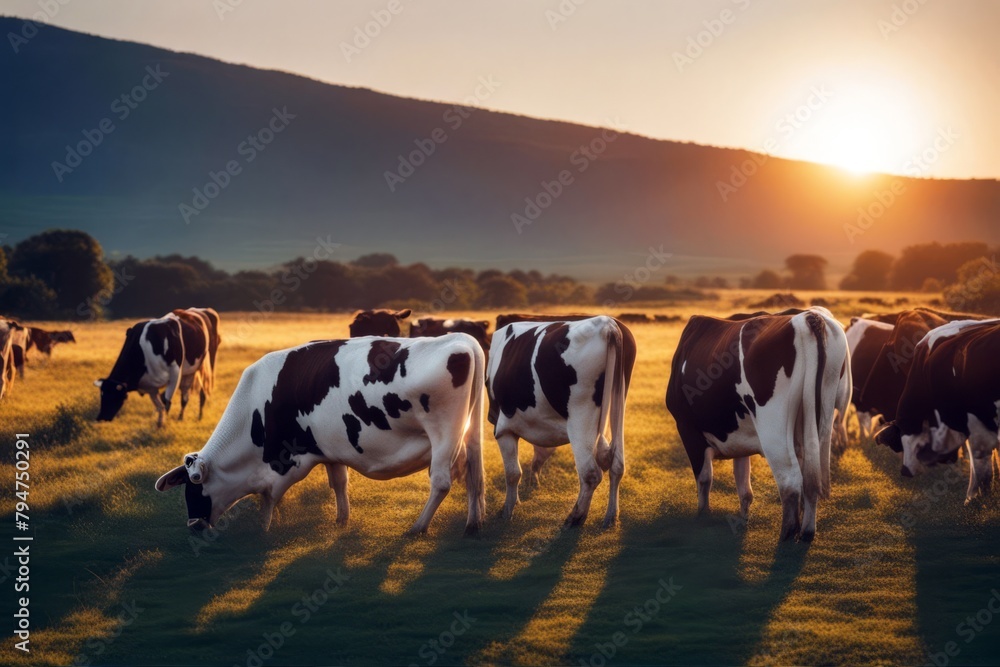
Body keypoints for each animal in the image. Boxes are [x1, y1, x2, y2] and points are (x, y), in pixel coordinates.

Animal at [155, 334, 486, 536]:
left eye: (195, 485)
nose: (194, 525)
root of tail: (460, 340)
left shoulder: (286, 460)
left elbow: (269, 497)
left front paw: (263, 529)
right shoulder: (329, 449)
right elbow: (339, 482)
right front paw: (341, 520)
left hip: (443, 433)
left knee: (441, 482)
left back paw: (418, 527)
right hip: (471, 433)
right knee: (475, 475)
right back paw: (473, 524)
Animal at [487, 316, 631, 528]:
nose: (490, 416)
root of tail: (607, 324)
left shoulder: (503, 428)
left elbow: (512, 472)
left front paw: (507, 510)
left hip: (580, 418)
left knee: (590, 473)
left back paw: (575, 517)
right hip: (617, 407)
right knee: (617, 465)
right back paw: (611, 517)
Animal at [665, 307, 850, 542]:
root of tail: (807, 316)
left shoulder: (687, 429)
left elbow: (704, 478)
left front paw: (703, 516)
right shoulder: (740, 440)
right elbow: (743, 485)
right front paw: (743, 518)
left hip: (774, 430)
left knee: (790, 480)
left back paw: (786, 535)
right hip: (820, 420)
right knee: (810, 479)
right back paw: (806, 532)